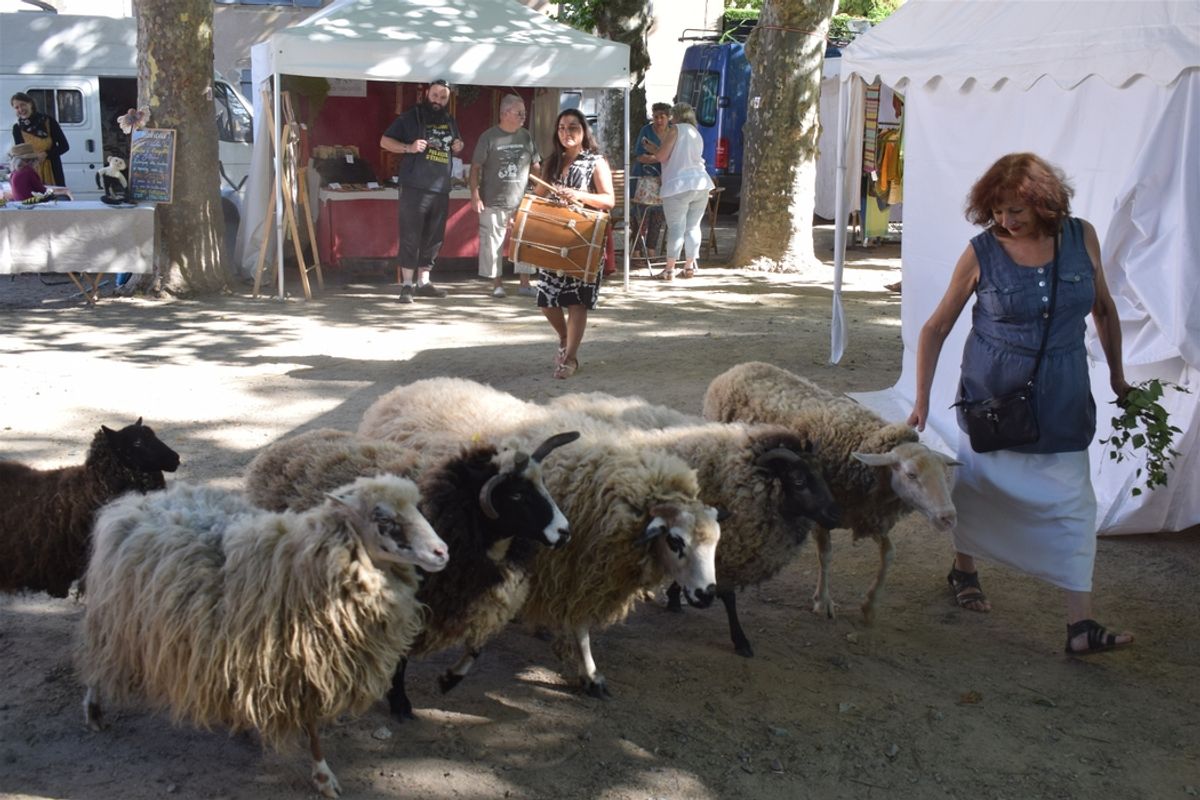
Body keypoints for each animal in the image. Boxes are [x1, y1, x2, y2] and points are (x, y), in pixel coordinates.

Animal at [78, 474, 449, 798]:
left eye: (418, 507)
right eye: (381, 515)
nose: (442, 552)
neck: (305, 564)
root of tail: (135, 501)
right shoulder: (299, 665)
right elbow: (311, 727)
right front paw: (324, 778)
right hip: (114, 618)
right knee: (98, 662)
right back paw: (94, 711)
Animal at [242, 425, 581, 719]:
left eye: (543, 486)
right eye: (517, 495)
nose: (564, 532)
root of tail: (287, 444)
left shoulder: (476, 598)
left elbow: (477, 647)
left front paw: (449, 679)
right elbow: (402, 657)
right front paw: (400, 702)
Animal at [359, 378, 722, 697]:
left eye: (715, 543)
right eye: (676, 541)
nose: (707, 595)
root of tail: (404, 390)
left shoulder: (575, 571)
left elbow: (577, 623)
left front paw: (589, 673)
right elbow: (573, 627)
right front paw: (589, 671)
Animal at [547, 391, 842, 657]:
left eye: (821, 473)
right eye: (798, 480)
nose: (836, 516)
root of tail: (566, 399)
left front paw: (676, 596)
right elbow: (728, 596)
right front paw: (740, 640)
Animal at [703, 362, 961, 623]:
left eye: (943, 472)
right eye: (911, 474)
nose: (949, 517)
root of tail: (740, 367)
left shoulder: (866, 515)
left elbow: (889, 554)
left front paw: (870, 605)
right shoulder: (822, 512)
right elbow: (826, 555)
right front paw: (823, 601)